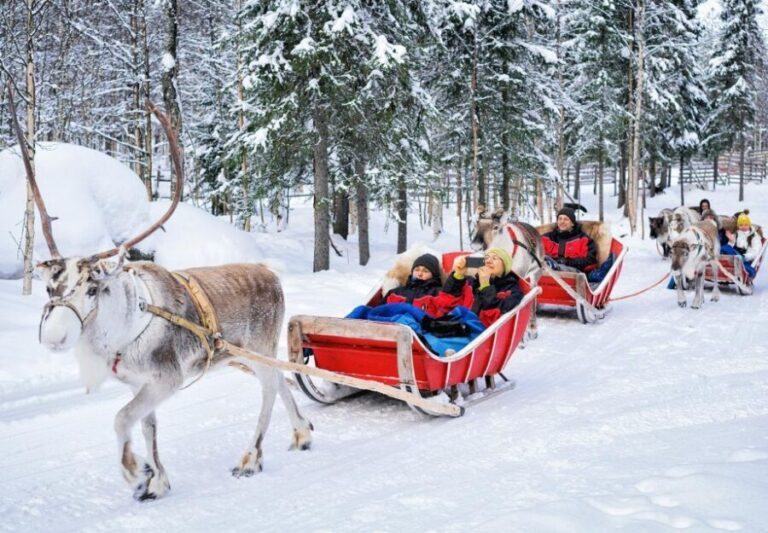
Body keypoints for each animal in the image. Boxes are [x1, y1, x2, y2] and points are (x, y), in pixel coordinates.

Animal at [7, 84, 312, 501]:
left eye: (92, 288)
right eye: (50, 286)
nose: (54, 337)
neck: (120, 331)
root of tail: (270, 274)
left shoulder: (166, 378)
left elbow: (121, 418)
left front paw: (136, 472)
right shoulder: (141, 382)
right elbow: (148, 426)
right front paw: (157, 479)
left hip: (259, 346)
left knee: (268, 389)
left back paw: (251, 458)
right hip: (246, 354)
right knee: (282, 379)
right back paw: (302, 432)